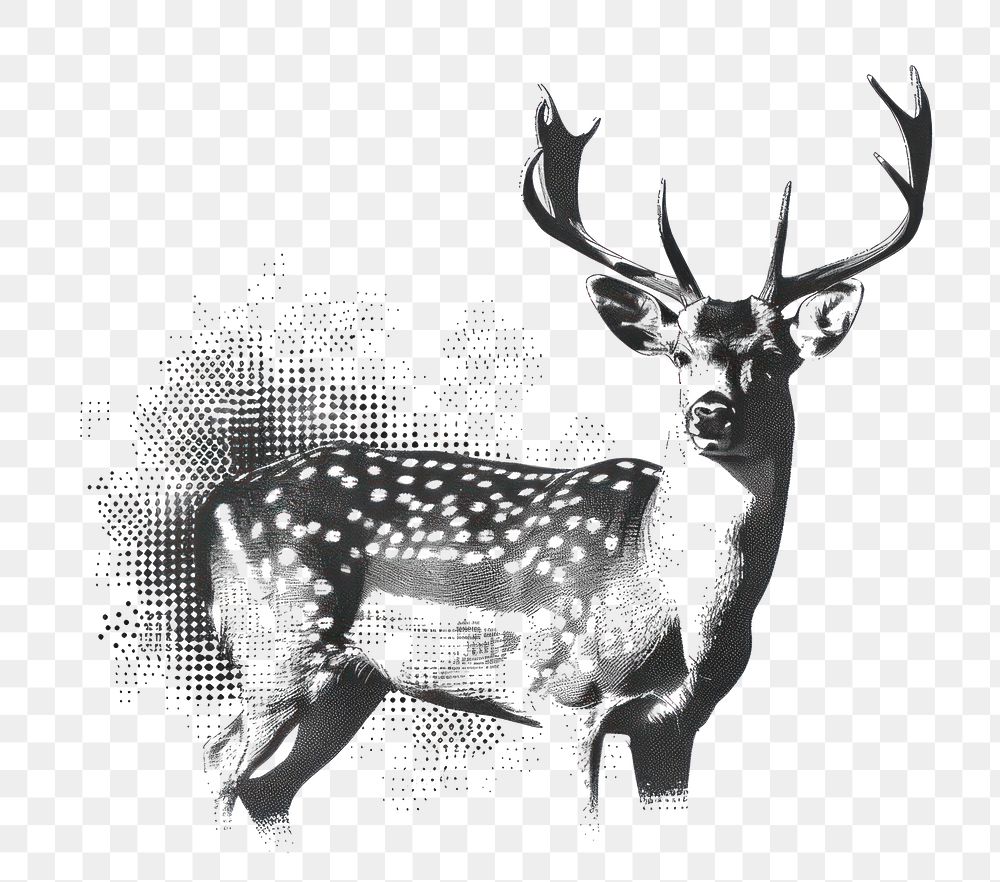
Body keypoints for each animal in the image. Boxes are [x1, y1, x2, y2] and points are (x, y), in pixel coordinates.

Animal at [195, 68, 931, 841]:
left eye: (773, 356)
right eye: (679, 354)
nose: (709, 412)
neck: (678, 615)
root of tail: (215, 502)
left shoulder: (676, 724)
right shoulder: (564, 694)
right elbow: (586, 822)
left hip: (353, 679)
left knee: (267, 787)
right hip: (277, 646)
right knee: (218, 761)